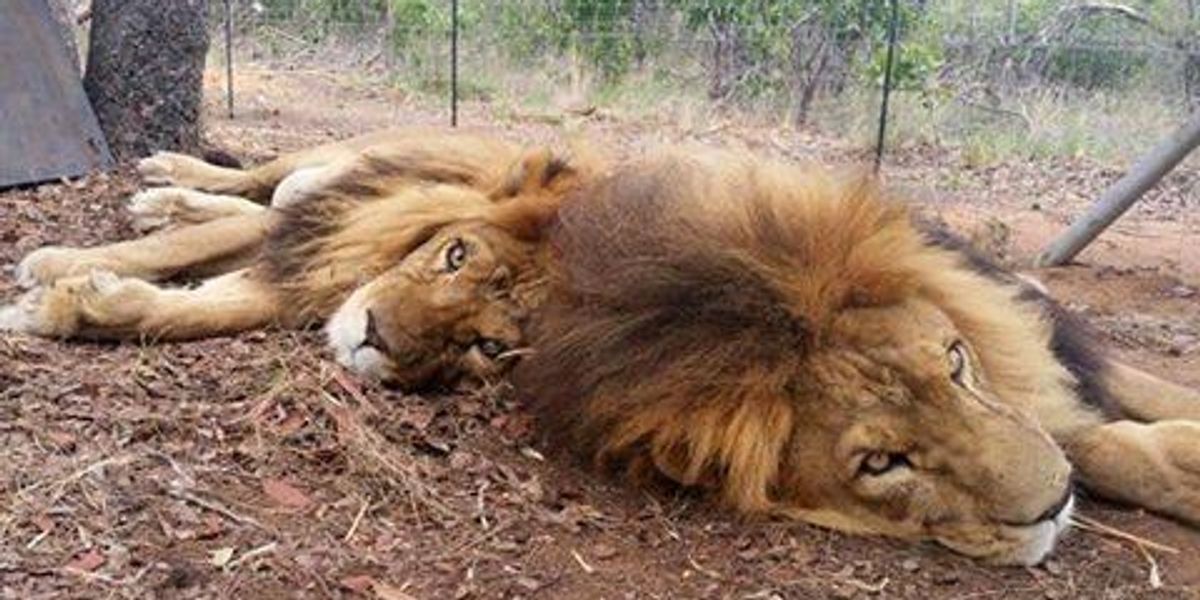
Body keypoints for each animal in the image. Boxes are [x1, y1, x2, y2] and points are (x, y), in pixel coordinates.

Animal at [0, 129, 587, 389]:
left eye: (489, 347)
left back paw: (163, 205)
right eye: (456, 254)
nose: (373, 336)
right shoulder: (318, 226)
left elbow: (197, 311)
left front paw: (62, 308)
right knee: (261, 181)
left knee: (263, 194)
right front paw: (52, 264)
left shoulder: (302, 275)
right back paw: (167, 175)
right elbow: (174, 249)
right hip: (337, 160)